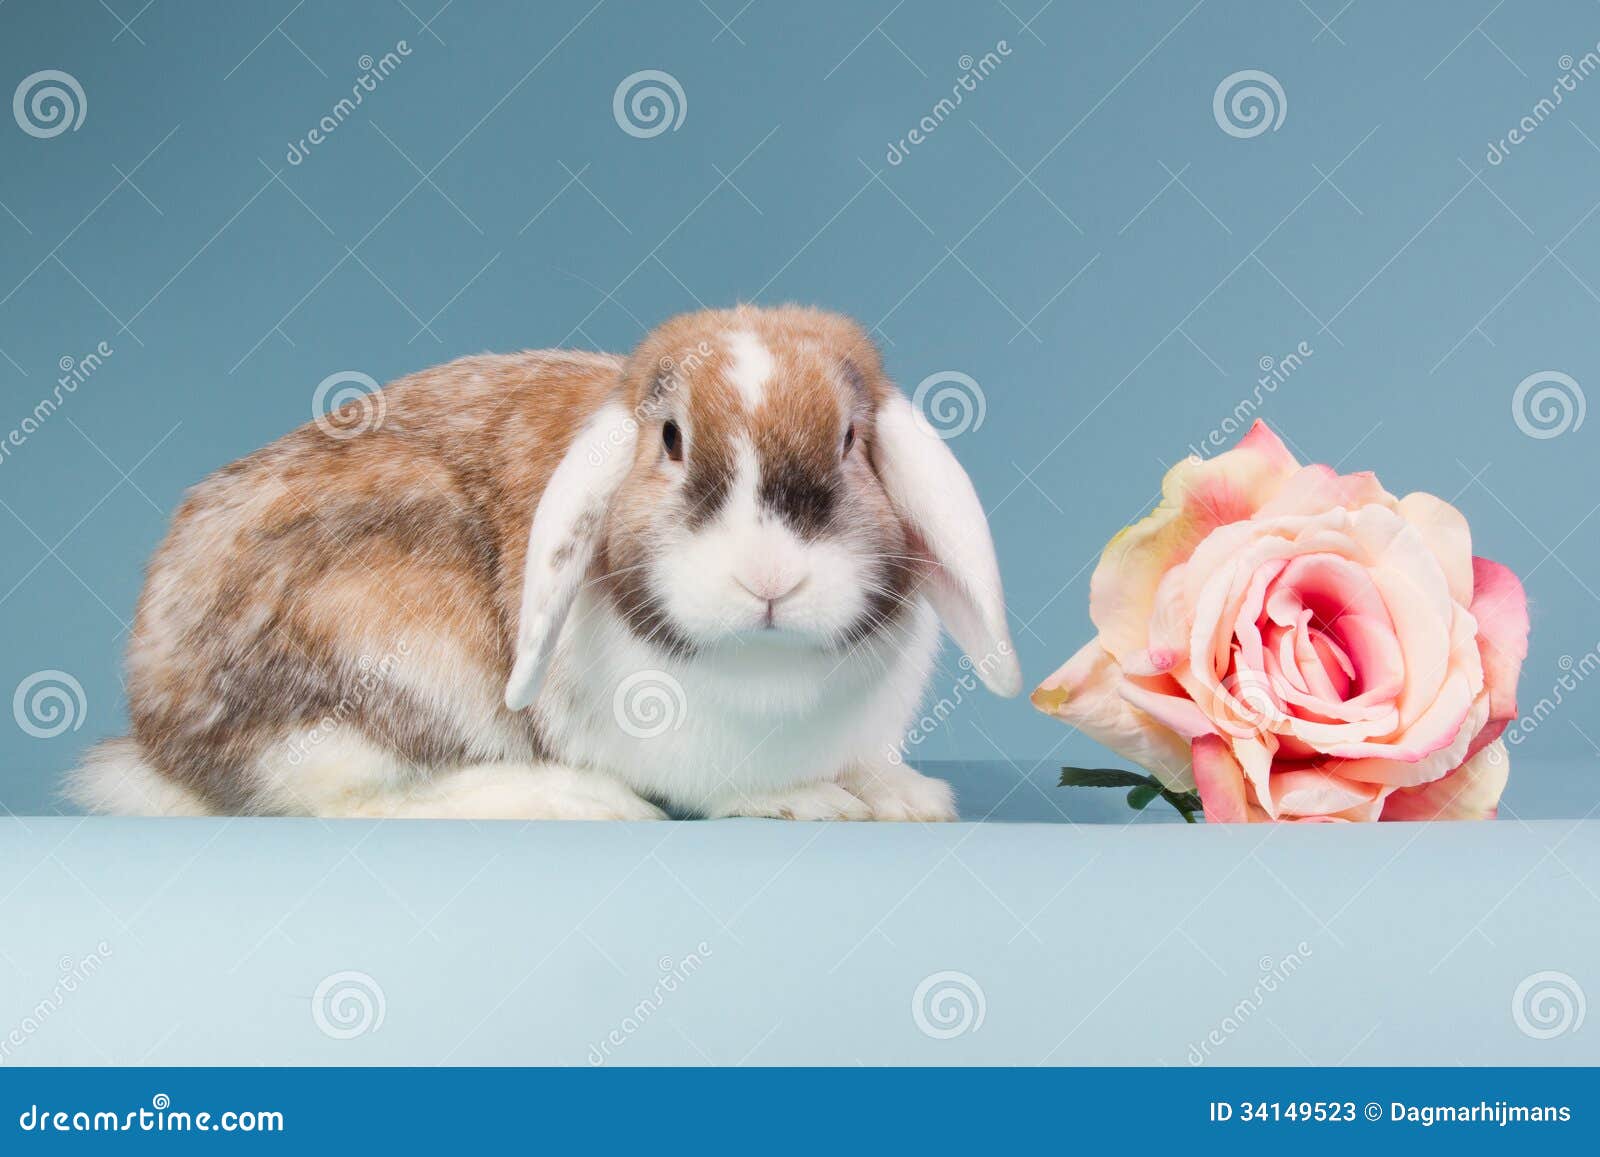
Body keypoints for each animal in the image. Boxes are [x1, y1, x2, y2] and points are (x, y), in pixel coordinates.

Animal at [66, 305, 1021, 820]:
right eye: (671, 440)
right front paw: (806, 801)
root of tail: (156, 741)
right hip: (395, 648)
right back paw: (576, 800)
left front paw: (901, 794)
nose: (769, 579)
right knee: (349, 795)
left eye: (850, 441)